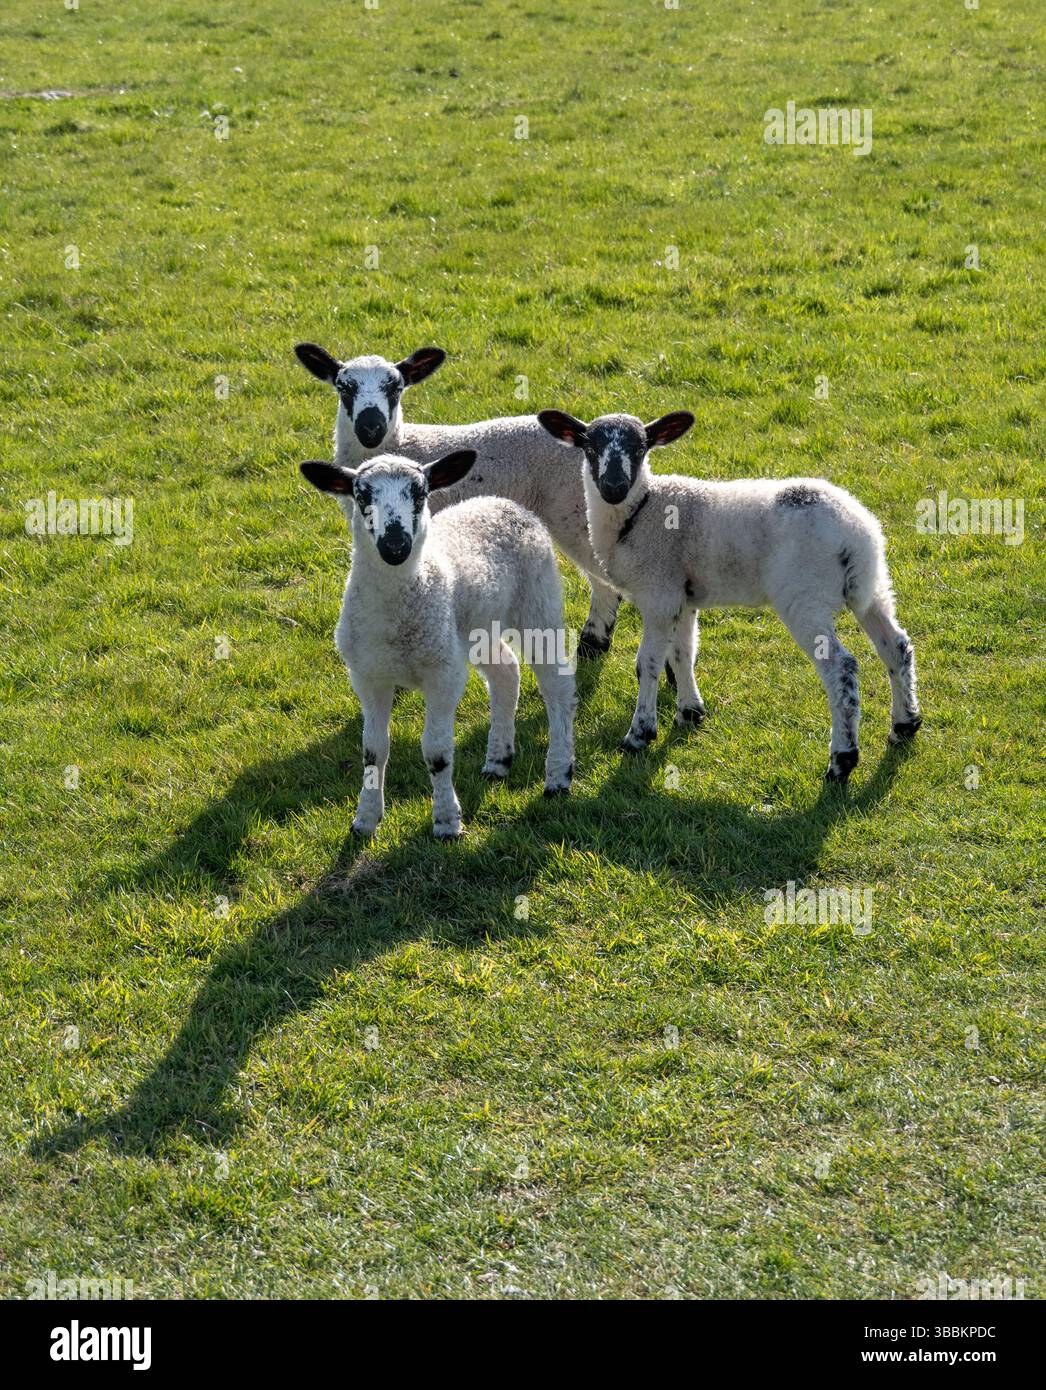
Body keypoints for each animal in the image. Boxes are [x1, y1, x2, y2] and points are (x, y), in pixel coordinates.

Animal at [294, 341, 624, 659]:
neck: (402, 444)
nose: (370, 427)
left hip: (575, 511)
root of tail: (586, 439)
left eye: (395, 388)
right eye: (344, 388)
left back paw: (593, 643)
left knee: (606, 582)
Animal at [299, 448, 576, 839]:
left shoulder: (443, 674)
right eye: (362, 495)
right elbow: (373, 750)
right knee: (506, 671)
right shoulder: (368, 676)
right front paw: (365, 820)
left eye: (420, 493)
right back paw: (498, 761)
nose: (395, 545)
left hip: (537, 599)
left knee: (557, 685)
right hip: (473, 628)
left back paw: (558, 774)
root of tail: (503, 502)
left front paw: (446, 822)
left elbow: (437, 752)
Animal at [536, 409, 922, 782]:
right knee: (896, 646)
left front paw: (639, 735)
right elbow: (683, 653)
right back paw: (905, 725)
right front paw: (690, 712)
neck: (641, 510)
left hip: (804, 596)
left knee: (841, 667)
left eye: (639, 447)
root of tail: (856, 535)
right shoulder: (682, 596)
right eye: (589, 447)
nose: (613, 487)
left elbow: (647, 663)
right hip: (872, 588)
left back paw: (842, 761)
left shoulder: (658, 591)